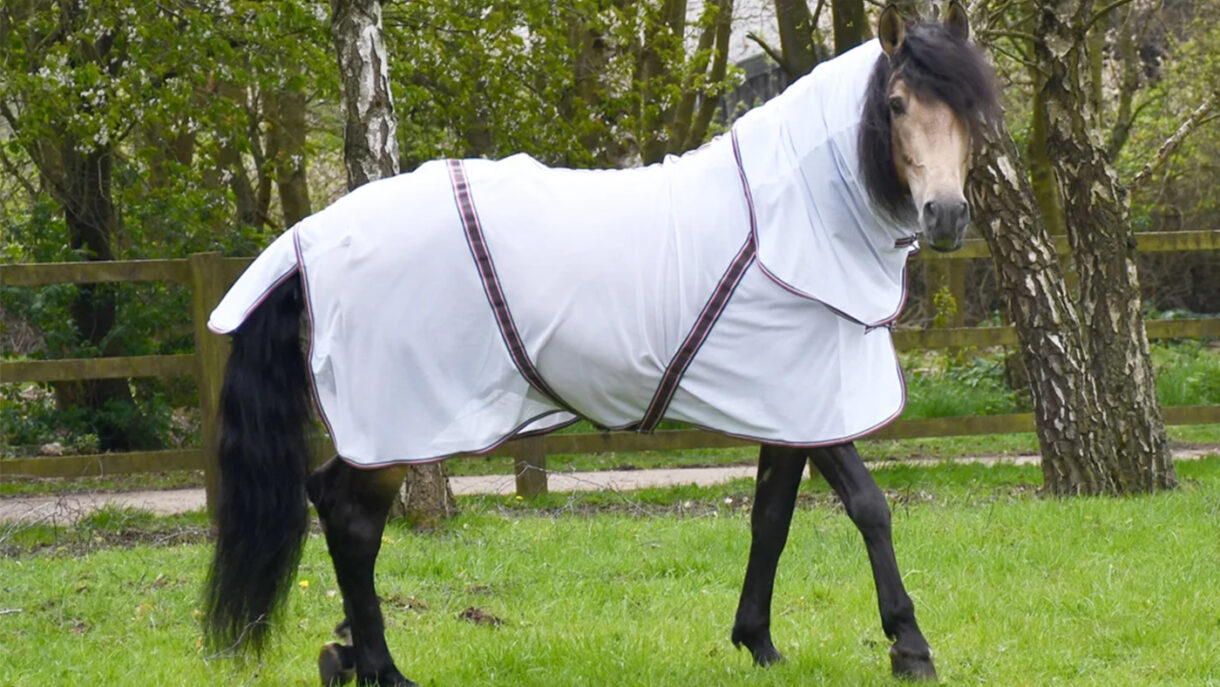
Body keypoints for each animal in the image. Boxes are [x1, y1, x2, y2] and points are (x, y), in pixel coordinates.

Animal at [202, 4, 999, 685]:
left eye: (971, 111)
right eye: (896, 104)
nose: (946, 216)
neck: (792, 215)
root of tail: (310, 237)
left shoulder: (792, 409)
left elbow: (770, 518)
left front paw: (760, 644)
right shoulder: (816, 407)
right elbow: (870, 506)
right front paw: (910, 646)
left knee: (338, 508)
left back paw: (350, 659)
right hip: (397, 423)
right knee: (352, 517)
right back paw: (380, 668)